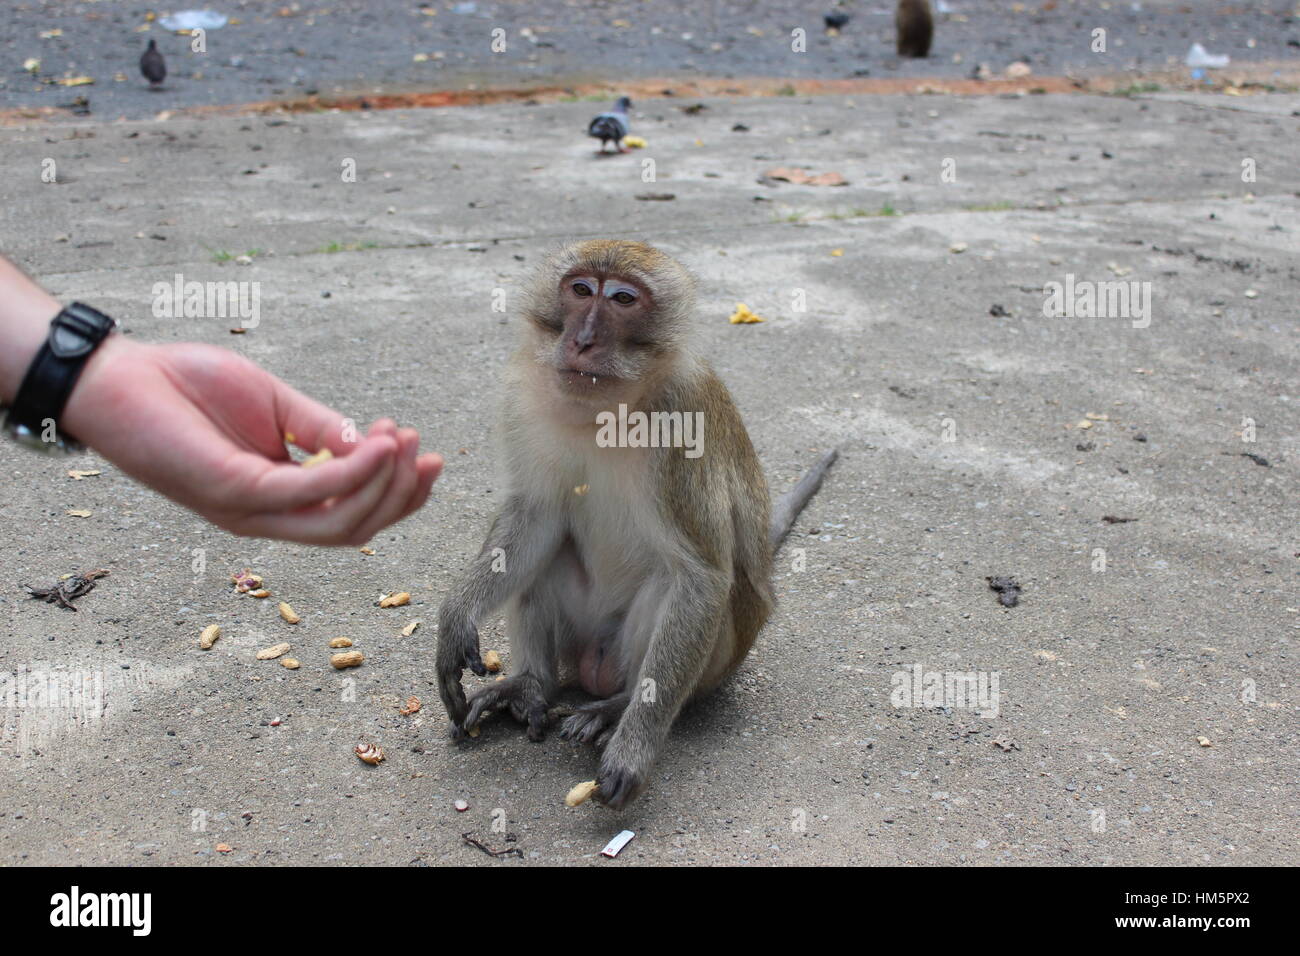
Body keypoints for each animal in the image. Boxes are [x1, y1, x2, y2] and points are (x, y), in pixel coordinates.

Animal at [435, 240, 837, 810]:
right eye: (581, 290)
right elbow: (534, 516)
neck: (607, 408)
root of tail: (594, 669)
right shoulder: (524, 392)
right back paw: (532, 685)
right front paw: (456, 615)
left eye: (623, 299)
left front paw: (634, 749)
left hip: (703, 663)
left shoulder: (681, 418)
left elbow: (701, 575)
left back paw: (616, 706)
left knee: (675, 584)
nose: (581, 340)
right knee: (545, 553)